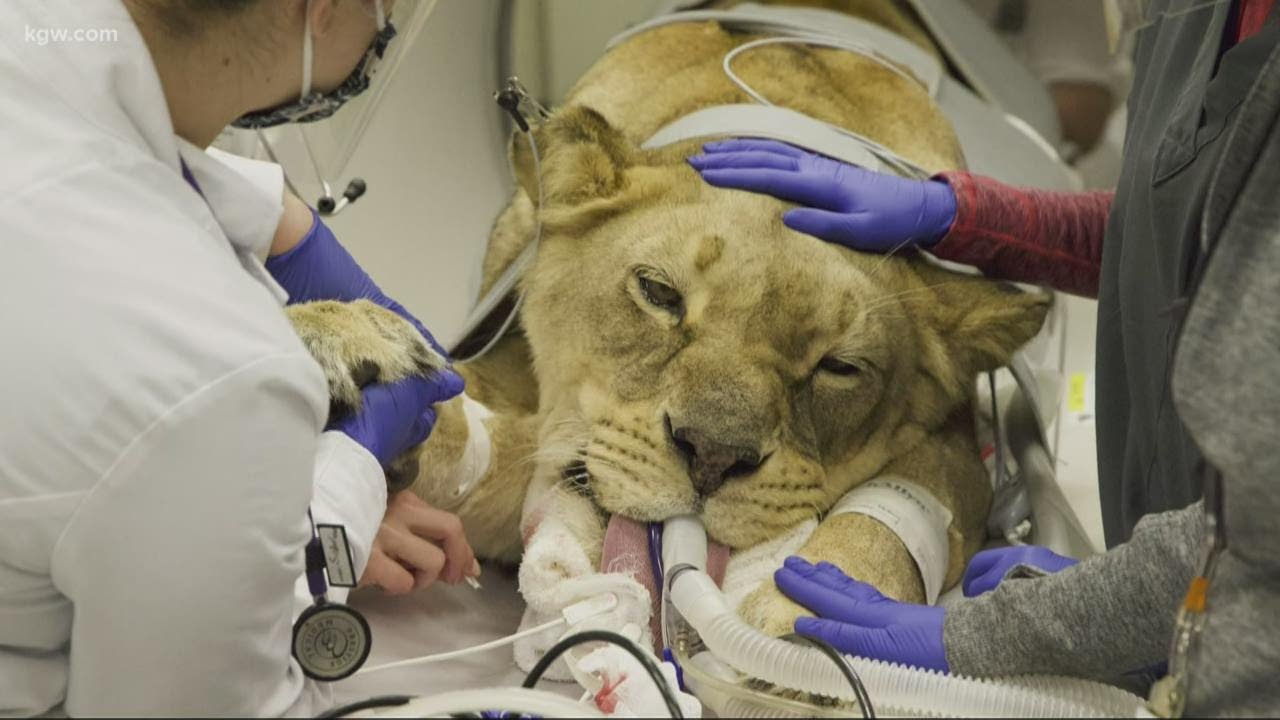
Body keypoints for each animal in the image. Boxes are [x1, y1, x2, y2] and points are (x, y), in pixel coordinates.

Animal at [287, 0, 1049, 646]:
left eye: (839, 367)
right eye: (658, 293)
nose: (712, 457)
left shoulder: (957, 444)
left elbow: (895, 517)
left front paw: (808, 623)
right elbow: (473, 428)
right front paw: (346, 351)